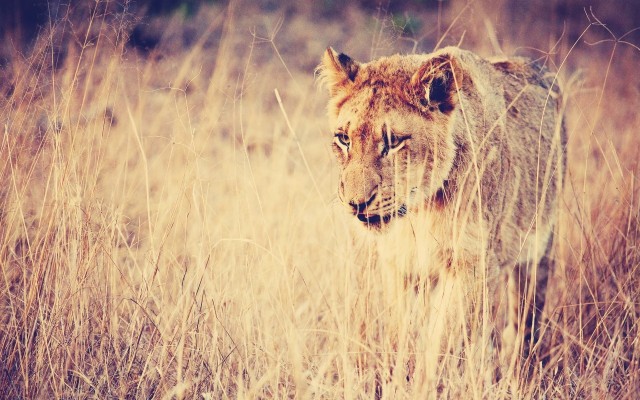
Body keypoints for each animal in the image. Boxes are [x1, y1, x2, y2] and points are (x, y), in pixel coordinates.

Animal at [317, 46, 566, 380]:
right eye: (344, 139)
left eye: (393, 142)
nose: (356, 203)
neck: (418, 211)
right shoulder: (399, 264)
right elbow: (401, 332)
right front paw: (399, 376)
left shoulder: (472, 263)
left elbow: (445, 339)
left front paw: (429, 381)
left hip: (537, 251)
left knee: (524, 321)